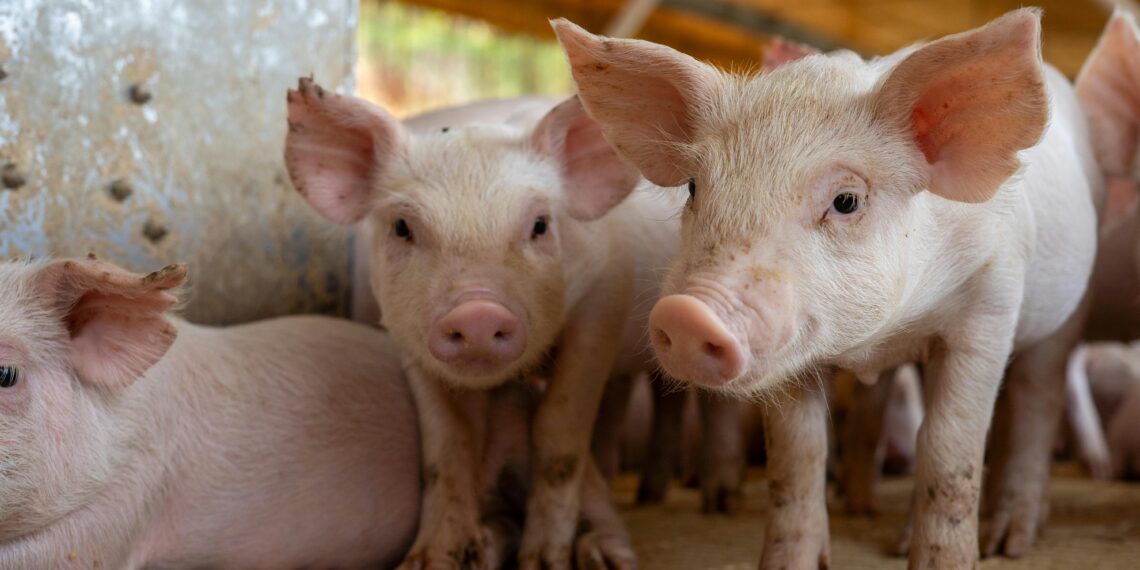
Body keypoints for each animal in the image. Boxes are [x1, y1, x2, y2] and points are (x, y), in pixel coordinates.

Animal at [284, 78, 690, 569]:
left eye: (540, 225)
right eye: (401, 227)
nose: (477, 312)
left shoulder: (603, 302)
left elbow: (559, 431)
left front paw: (543, 561)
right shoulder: (406, 340)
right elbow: (446, 444)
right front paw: (429, 560)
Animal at [555, 8, 1101, 568]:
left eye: (846, 200)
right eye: (693, 187)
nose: (686, 314)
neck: (878, 340)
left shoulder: (990, 304)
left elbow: (949, 450)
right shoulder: (793, 356)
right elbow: (797, 458)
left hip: (1069, 310)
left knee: (1037, 402)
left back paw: (1009, 541)